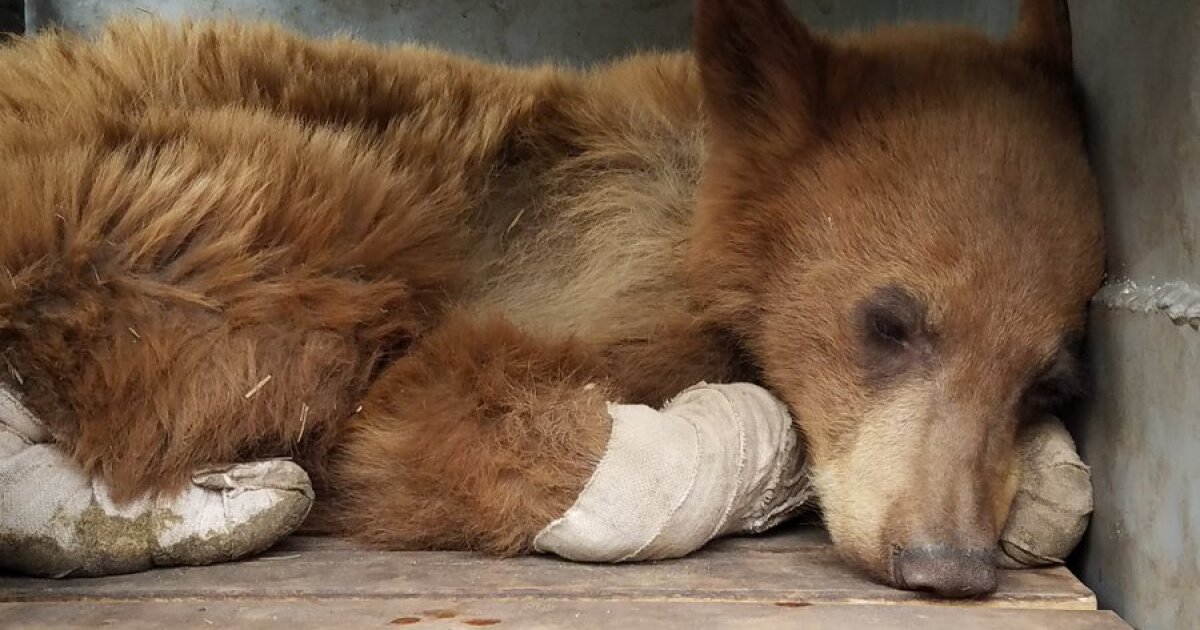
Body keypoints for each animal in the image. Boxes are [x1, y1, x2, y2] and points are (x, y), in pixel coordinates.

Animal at [0, 0, 1102, 597]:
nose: (948, 566)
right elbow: (435, 415)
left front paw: (1047, 478)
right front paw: (750, 440)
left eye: (1049, 380)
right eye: (889, 321)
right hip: (286, 195)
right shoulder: (582, 263)